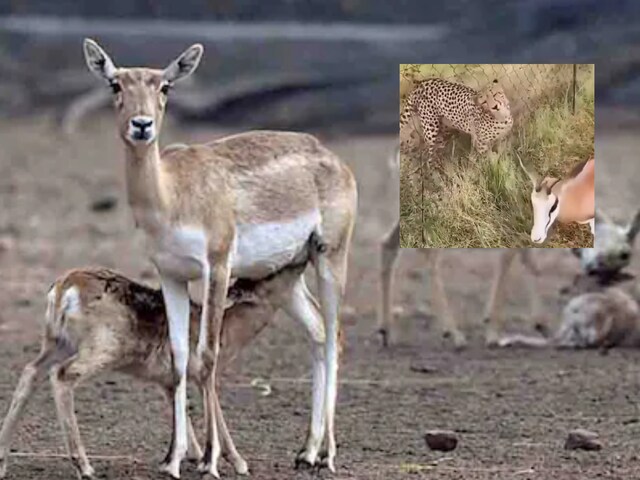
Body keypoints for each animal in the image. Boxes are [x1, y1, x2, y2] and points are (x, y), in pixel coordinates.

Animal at [0, 251, 318, 479]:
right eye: (271, 272)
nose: (301, 259)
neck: (229, 329)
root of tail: (64, 287)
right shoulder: (204, 374)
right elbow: (215, 411)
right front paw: (238, 463)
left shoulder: (168, 381)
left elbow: (182, 412)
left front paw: (189, 456)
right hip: (99, 350)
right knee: (62, 375)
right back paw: (85, 467)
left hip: (56, 343)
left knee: (30, 372)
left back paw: (3, 460)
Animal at [82, 39, 357, 478]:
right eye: (115, 84)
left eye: (165, 86)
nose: (141, 125)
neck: (171, 194)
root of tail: (330, 155)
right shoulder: (171, 275)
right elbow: (181, 357)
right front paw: (174, 459)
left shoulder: (218, 268)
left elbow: (207, 355)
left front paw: (211, 461)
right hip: (290, 276)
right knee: (316, 333)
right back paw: (306, 451)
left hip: (331, 257)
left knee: (333, 337)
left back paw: (327, 454)